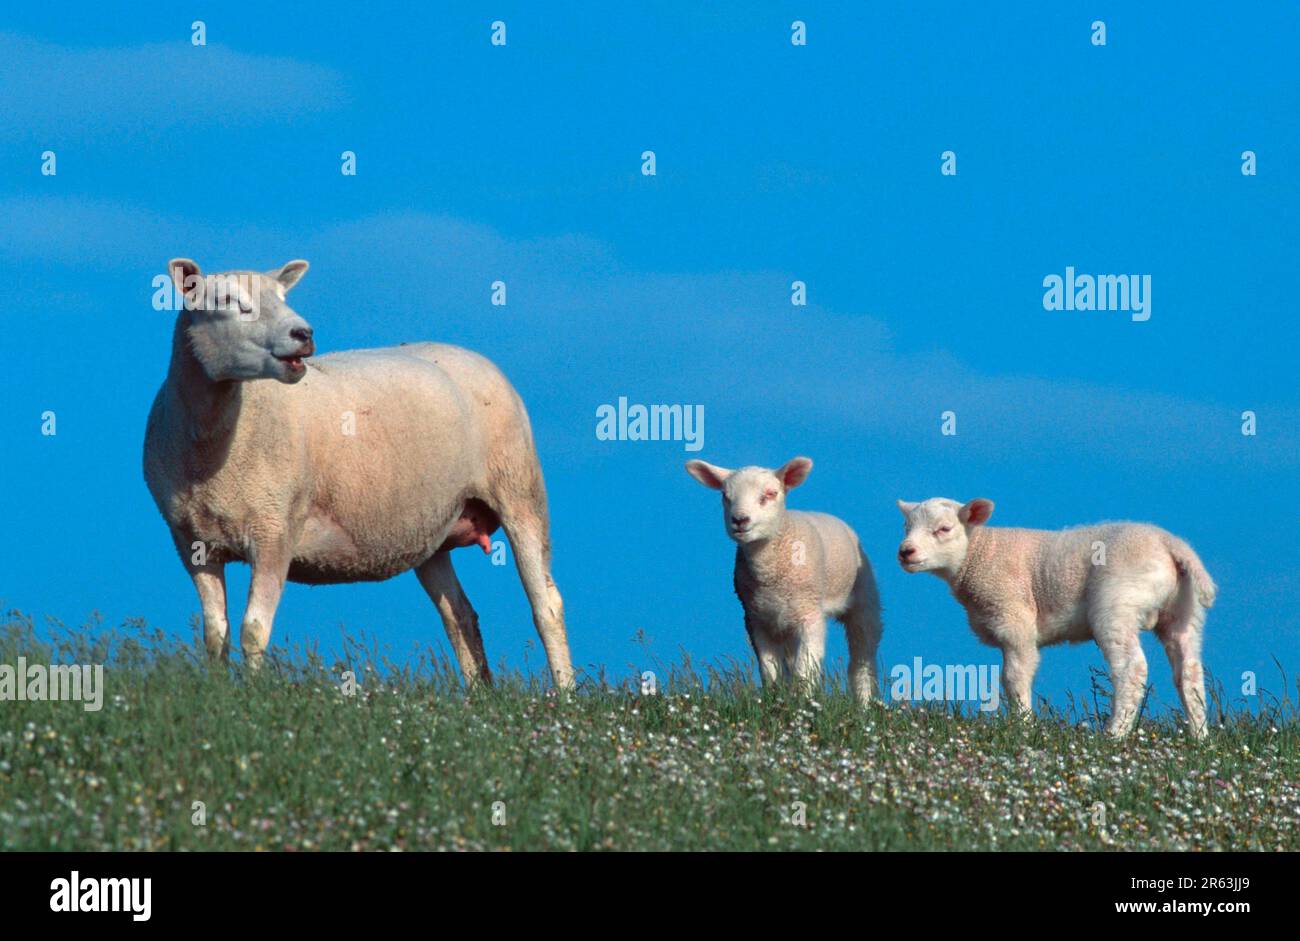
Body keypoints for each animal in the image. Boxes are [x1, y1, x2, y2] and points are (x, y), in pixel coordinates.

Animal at [142, 258, 575, 689]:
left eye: (284, 297)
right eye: (226, 300)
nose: (303, 333)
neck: (211, 442)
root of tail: (471, 354)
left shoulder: (274, 532)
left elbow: (253, 630)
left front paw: (253, 692)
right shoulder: (192, 543)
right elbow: (215, 634)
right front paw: (218, 689)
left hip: (519, 489)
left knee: (546, 605)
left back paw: (565, 692)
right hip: (430, 527)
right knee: (459, 615)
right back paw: (477, 692)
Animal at [685, 457, 882, 704]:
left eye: (770, 494)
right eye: (725, 495)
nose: (739, 520)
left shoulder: (811, 614)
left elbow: (805, 666)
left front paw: (804, 702)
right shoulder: (757, 619)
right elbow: (770, 668)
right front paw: (775, 699)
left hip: (864, 598)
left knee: (862, 653)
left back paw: (864, 703)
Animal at [895, 497, 1216, 738]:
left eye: (944, 529)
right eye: (906, 527)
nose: (905, 552)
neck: (980, 552)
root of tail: (1170, 544)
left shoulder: (1014, 620)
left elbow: (1013, 677)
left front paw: (1022, 724)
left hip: (1118, 602)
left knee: (1131, 668)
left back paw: (1114, 734)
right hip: (1184, 612)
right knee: (1189, 670)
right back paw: (1199, 736)